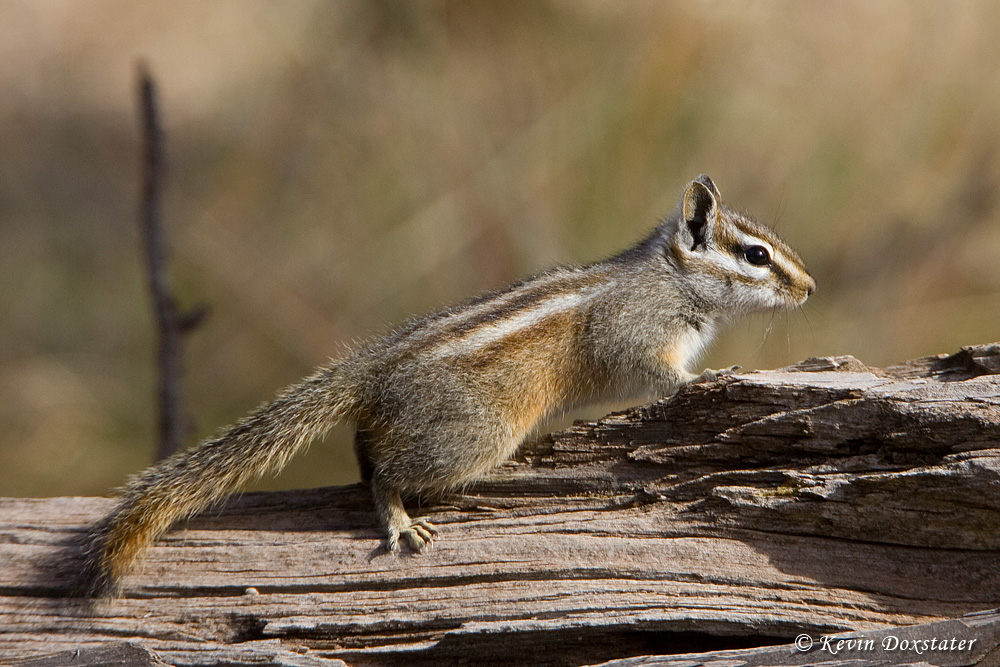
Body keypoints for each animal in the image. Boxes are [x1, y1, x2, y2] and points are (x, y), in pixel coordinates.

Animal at [82, 174, 815, 596]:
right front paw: (711, 373)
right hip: (475, 435)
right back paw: (400, 517)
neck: (669, 276)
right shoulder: (635, 335)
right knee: (386, 475)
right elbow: (661, 373)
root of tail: (369, 367)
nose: (809, 288)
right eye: (756, 256)